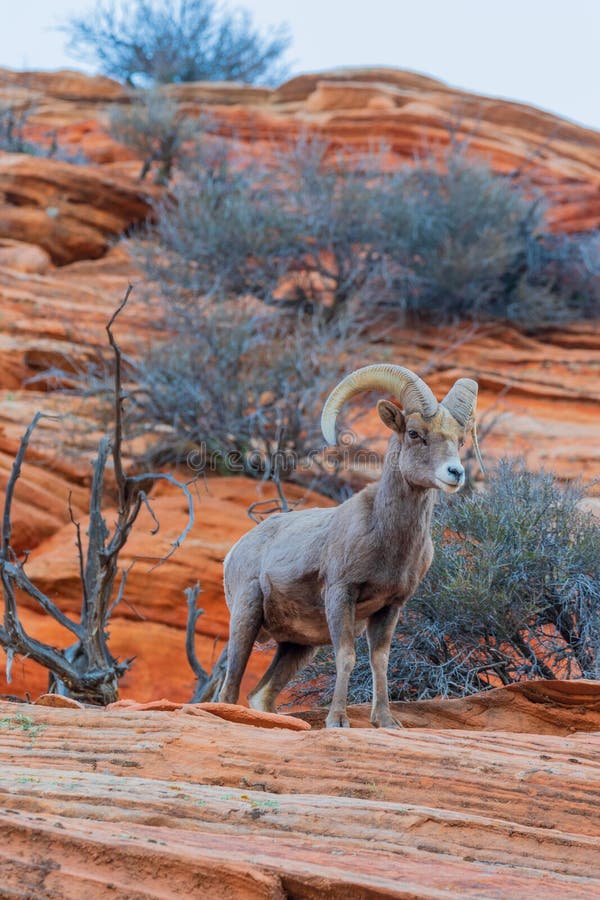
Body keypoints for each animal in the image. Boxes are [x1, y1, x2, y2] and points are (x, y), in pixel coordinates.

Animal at [219, 364, 483, 727]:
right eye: (415, 433)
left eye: (459, 440)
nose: (454, 473)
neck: (387, 539)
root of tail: (235, 552)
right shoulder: (341, 594)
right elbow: (346, 656)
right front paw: (337, 721)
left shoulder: (390, 607)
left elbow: (379, 660)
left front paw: (386, 721)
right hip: (247, 617)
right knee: (228, 689)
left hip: (297, 646)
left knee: (261, 694)